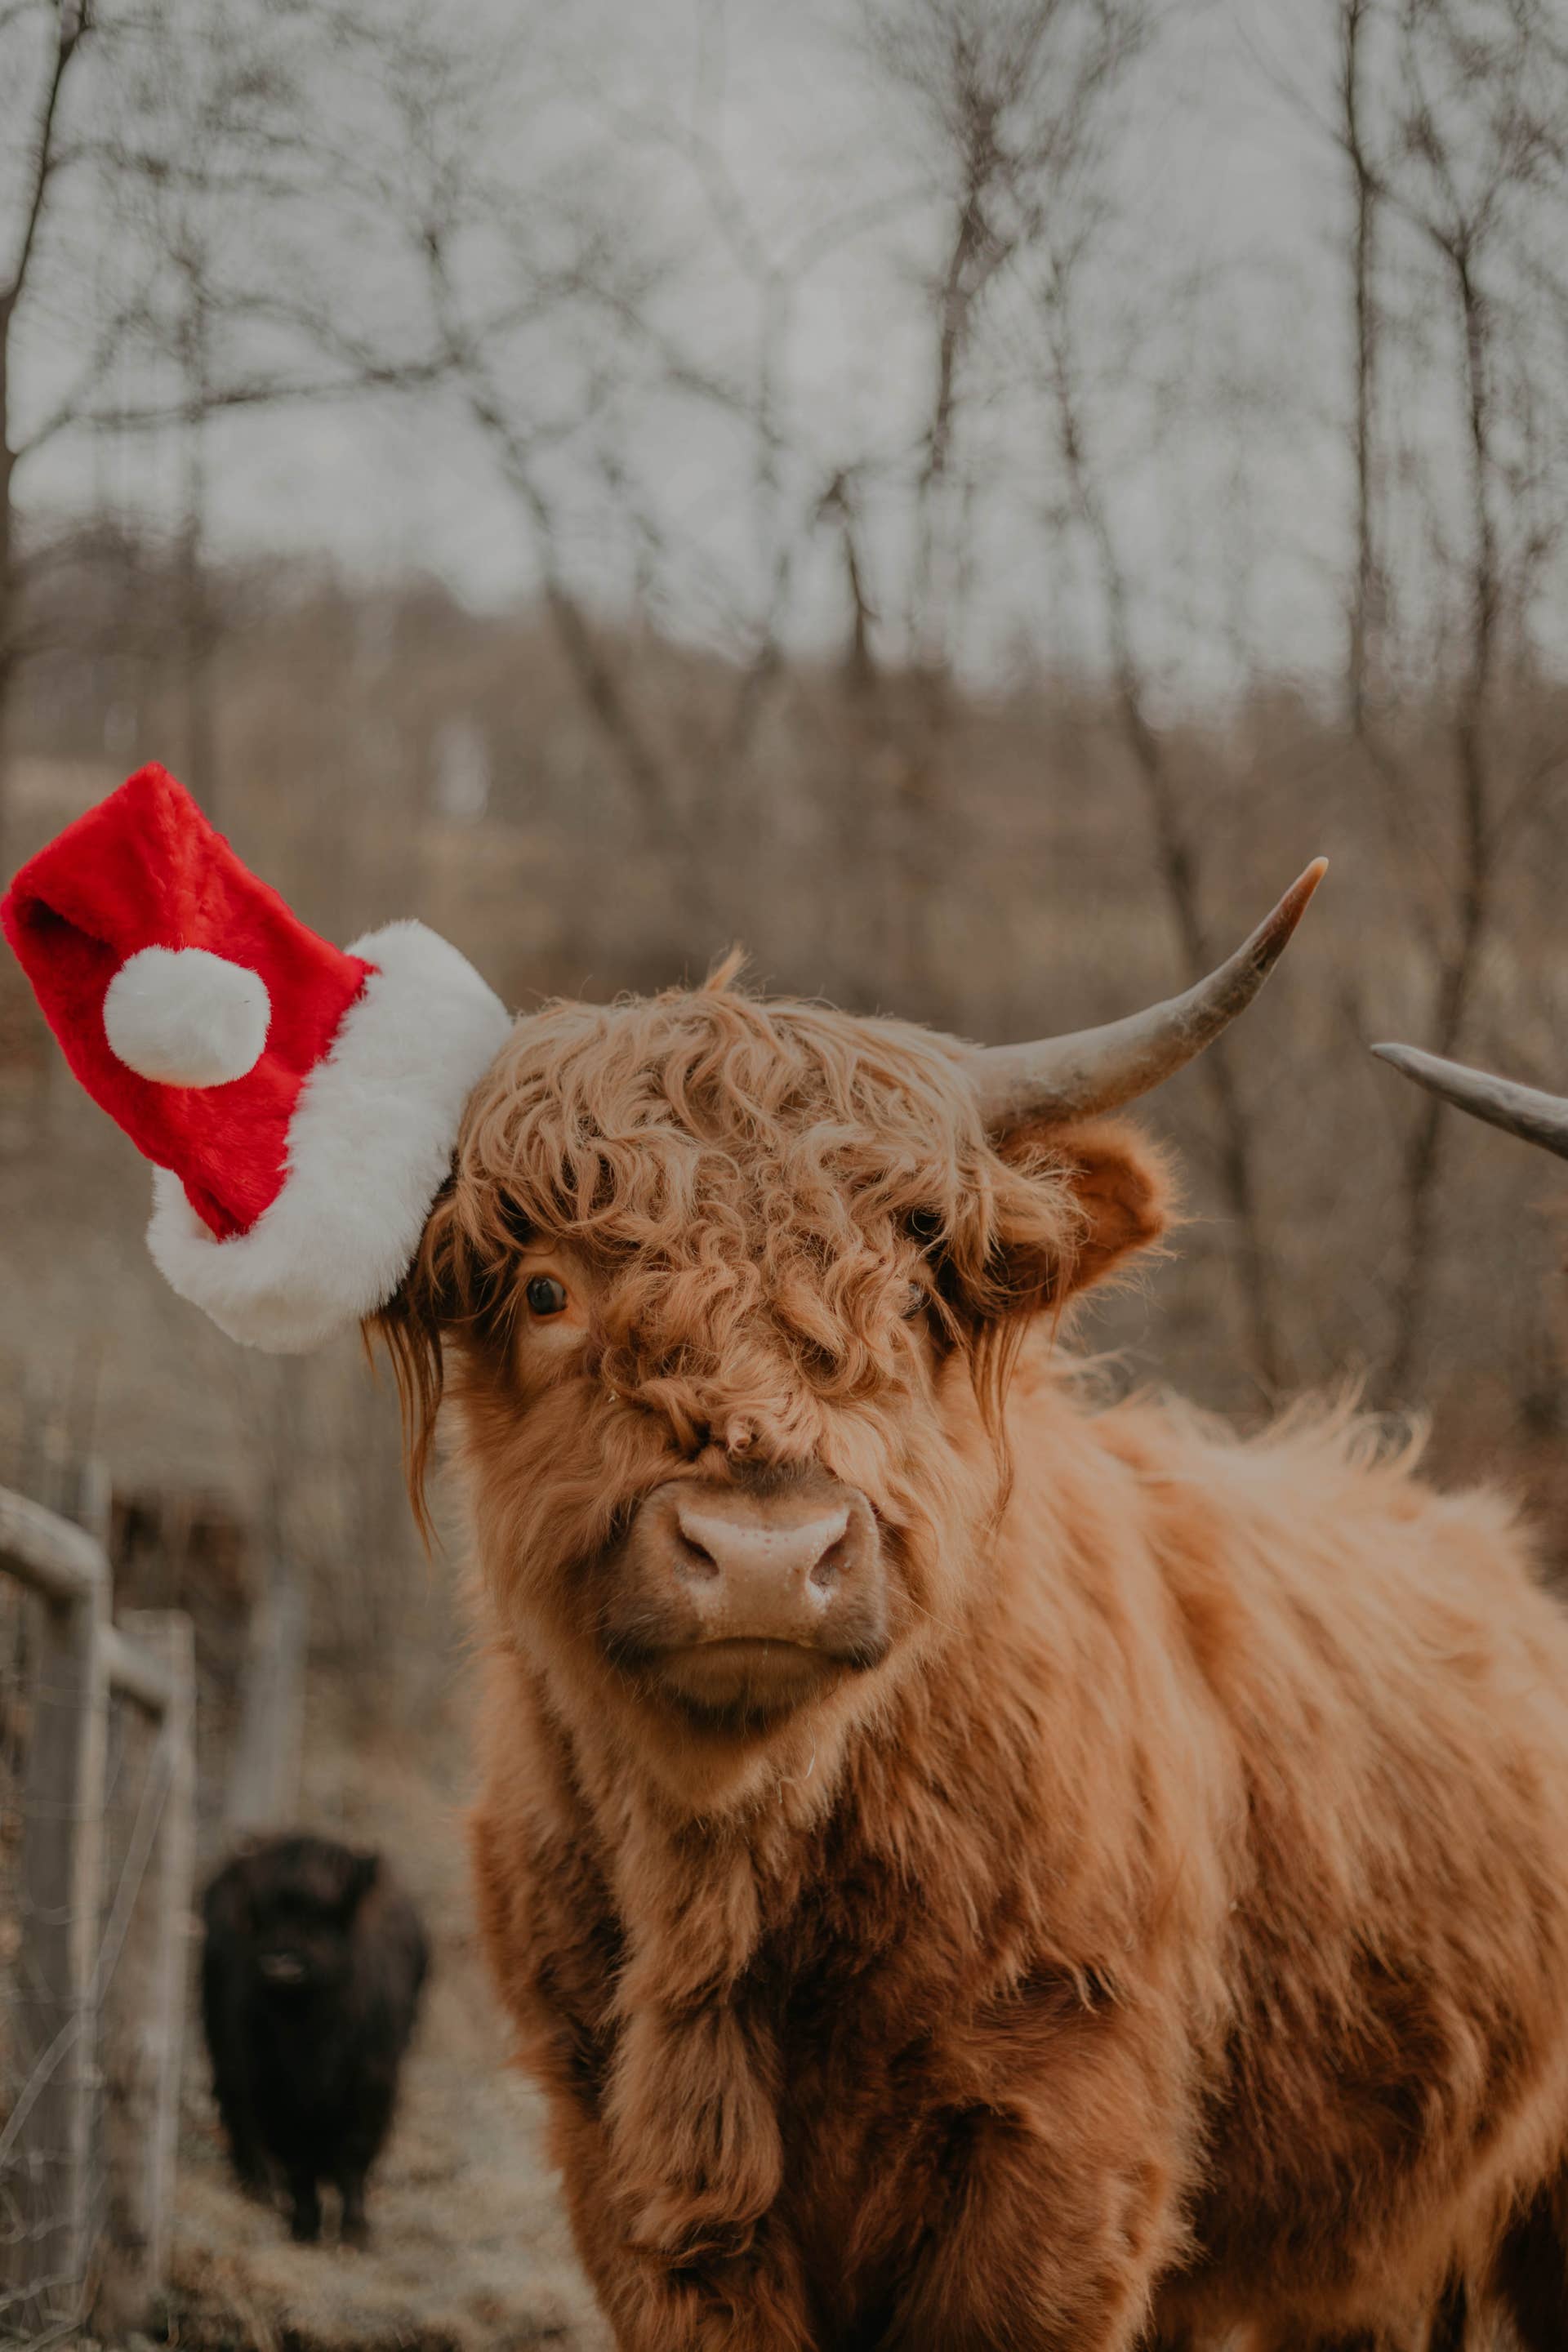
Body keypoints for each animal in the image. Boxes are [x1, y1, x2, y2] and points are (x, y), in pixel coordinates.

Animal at [200, 1833, 430, 2246]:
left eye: (329, 1915)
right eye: (263, 1914)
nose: (281, 1964)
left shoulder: (371, 2085)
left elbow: (354, 2155)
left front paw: (355, 2231)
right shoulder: (275, 2090)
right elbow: (297, 2160)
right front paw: (304, 2226)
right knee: (239, 2116)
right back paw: (260, 2187)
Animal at [374, 869, 1568, 2351]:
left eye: (905, 1292)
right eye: (545, 1289)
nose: (764, 1552)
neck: (726, 1877)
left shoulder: (1063, 2148)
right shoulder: (626, 2164)